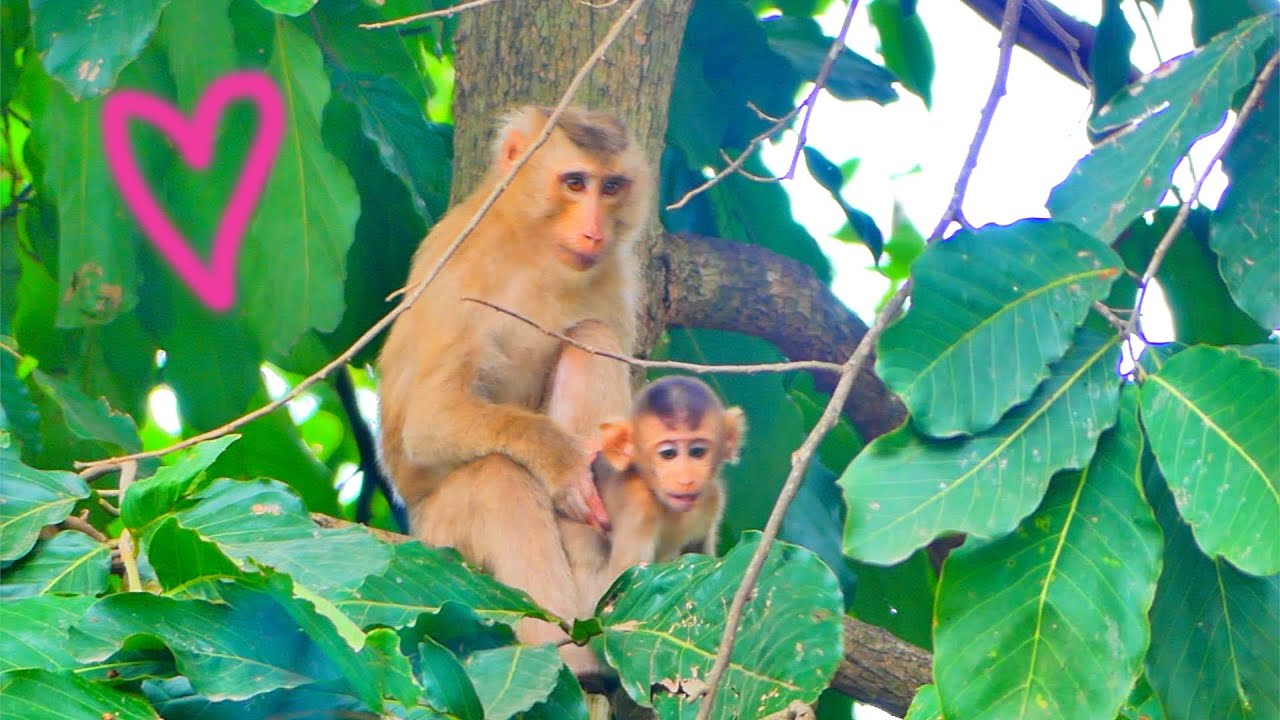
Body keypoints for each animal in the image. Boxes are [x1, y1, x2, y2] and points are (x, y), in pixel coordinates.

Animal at [376, 106, 650, 674]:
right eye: (575, 183)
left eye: (612, 186)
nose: (594, 231)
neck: (533, 251)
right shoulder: (457, 275)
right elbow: (430, 419)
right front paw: (560, 461)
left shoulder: (616, 278)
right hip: (437, 535)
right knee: (497, 479)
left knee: (592, 337)